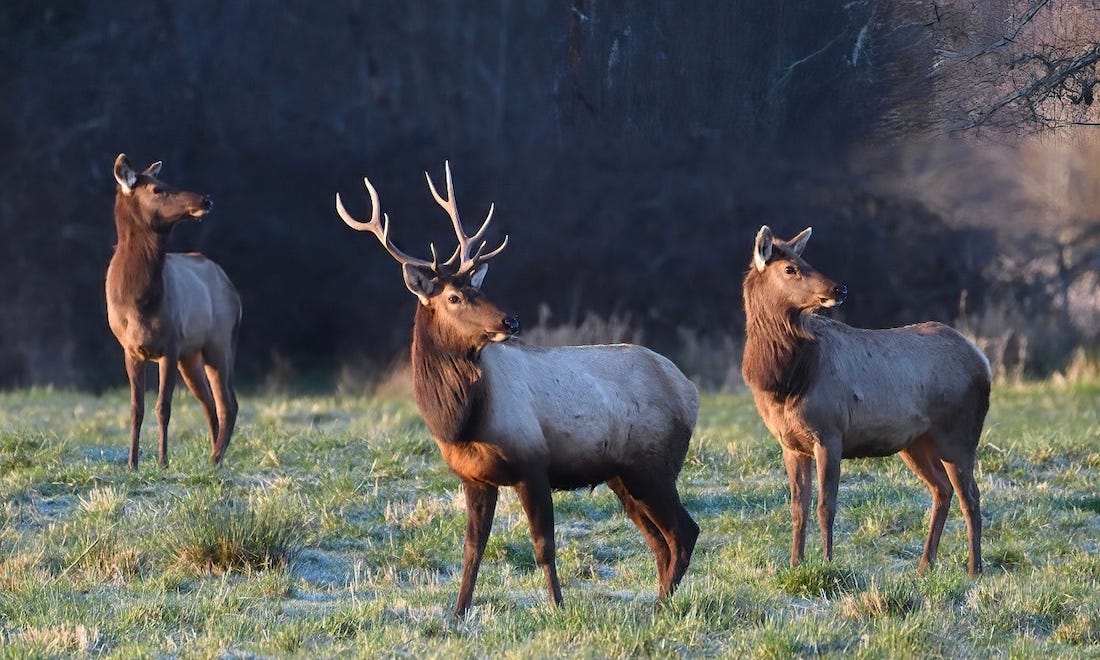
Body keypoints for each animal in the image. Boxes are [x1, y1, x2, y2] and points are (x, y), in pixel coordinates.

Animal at [106, 154, 241, 469]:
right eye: (157, 189)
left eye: (165, 183)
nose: (206, 199)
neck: (140, 302)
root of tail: (234, 290)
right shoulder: (130, 349)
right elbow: (136, 408)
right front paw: (132, 464)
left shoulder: (170, 344)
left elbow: (163, 408)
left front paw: (162, 462)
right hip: (191, 356)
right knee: (210, 403)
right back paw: (213, 455)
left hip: (219, 341)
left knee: (228, 402)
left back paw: (216, 457)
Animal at [337, 163, 700, 615]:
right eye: (454, 296)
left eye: (479, 288)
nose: (510, 320)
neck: (460, 422)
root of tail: (689, 390)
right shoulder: (475, 477)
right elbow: (472, 548)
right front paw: (458, 612)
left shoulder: (533, 463)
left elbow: (544, 546)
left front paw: (558, 607)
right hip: (623, 474)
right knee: (661, 541)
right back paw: (656, 602)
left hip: (652, 465)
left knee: (683, 533)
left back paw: (660, 608)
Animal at [742, 226, 990, 577]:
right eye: (790, 268)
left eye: (805, 260)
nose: (839, 288)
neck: (787, 382)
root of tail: (983, 360)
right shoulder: (790, 443)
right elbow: (797, 508)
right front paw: (794, 564)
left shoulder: (830, 433)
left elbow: (825, 506)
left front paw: (827, 563)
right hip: (916, 443)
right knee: (943, 489)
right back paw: (925, 564)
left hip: (958, 435)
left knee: (972, 495)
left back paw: (974, 568)